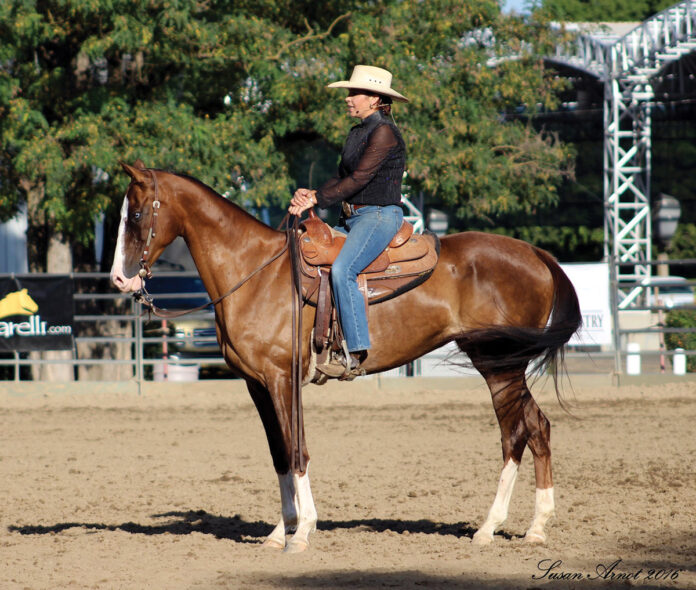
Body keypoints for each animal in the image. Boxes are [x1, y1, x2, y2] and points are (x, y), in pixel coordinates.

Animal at [110, 161, 581, 553]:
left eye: (135, 215)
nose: (118, 278)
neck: (256, 271)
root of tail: (536, 253)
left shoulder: (282, 379)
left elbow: (297, 450)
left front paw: (302, 532)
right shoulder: (257, 384)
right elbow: (279, 453)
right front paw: (281, 531)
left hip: (500, 364)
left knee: (515, 433)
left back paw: (489, 528)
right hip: (502, 365)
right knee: (537, 427)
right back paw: (535, 527)